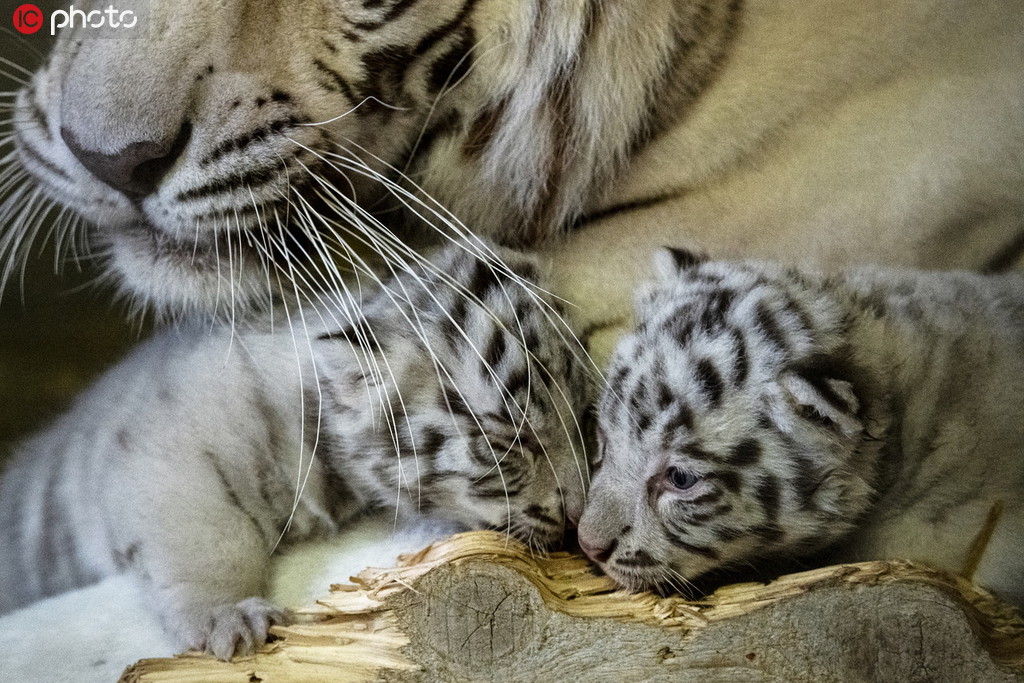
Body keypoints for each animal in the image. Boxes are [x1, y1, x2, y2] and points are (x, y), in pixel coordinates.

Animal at [0, 244, 594, 660]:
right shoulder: (171, 450)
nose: (576, 515)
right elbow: (213, 540)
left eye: (585, 417)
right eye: (506, 445)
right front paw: (229, 619)